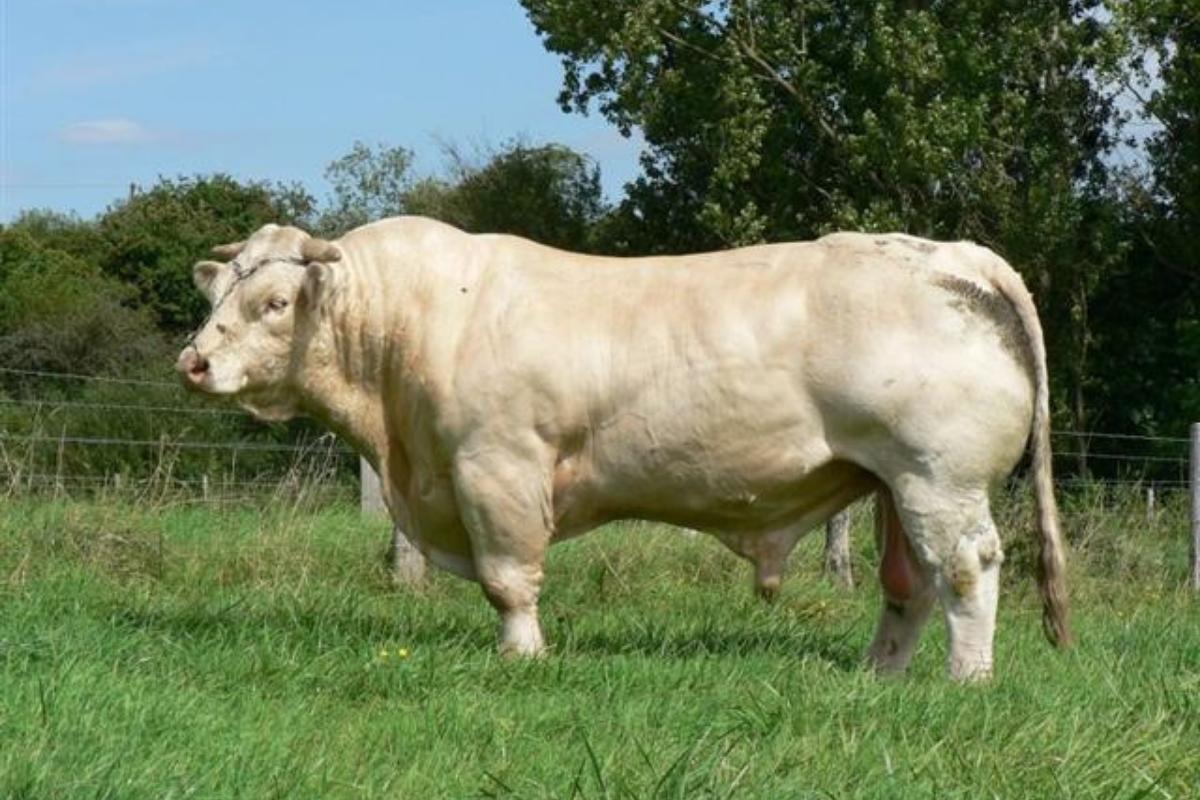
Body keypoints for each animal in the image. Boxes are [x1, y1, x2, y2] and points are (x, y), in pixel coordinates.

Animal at [177, 217, 1070, 680]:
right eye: (217, 295)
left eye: (276, 301)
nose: (193, 361)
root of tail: (952, 253)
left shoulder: (495, 467)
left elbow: (508, 580)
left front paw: (524, 656)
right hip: (892, 483)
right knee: (908, 587)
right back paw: (877, 677)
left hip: (937, 478)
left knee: (966, 570)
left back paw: (967, 678)